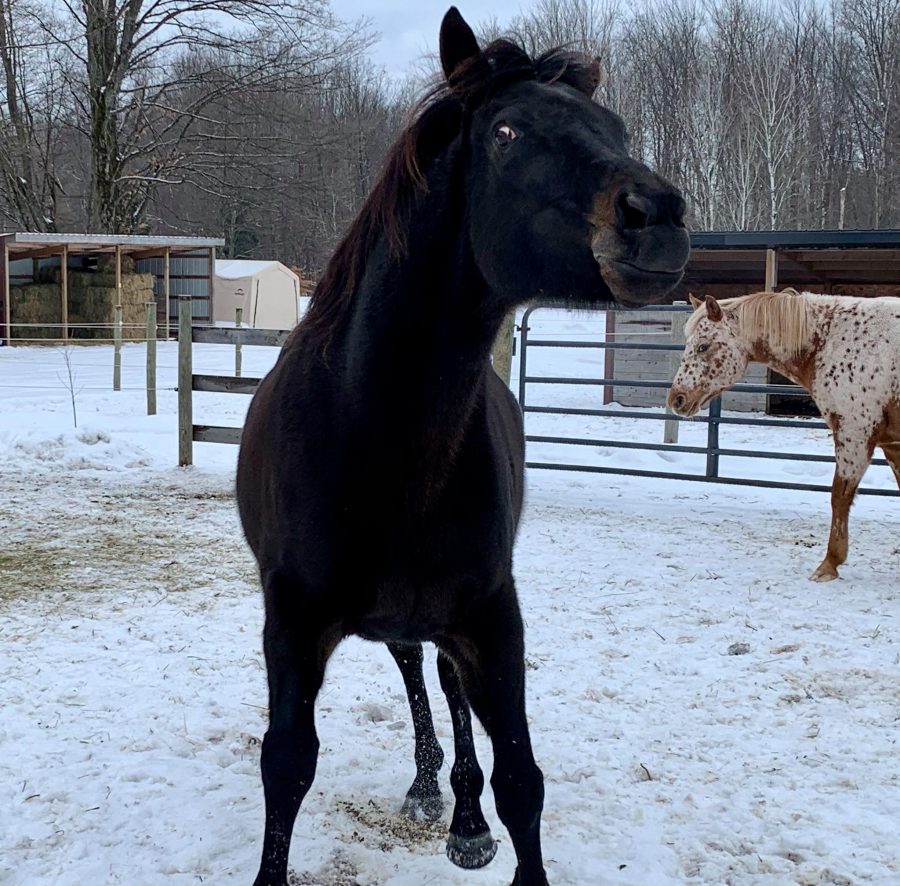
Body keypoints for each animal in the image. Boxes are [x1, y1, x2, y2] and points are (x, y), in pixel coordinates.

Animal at [236, 8, 689, 885]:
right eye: (506, 132)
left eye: (615, 128)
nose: (658, 215)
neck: (378, 435)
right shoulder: (292, 626)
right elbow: (287, 767)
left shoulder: (493, 617)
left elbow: (521, 778)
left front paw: (483, 818)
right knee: (417, 671)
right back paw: (427, 787)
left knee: (444, 683)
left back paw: (464, 816)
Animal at [668, 290, 900, 582]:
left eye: (703, 346)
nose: (676, 399)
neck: (831, 339)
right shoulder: (892, 445)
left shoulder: (854, 434)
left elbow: (839, 497)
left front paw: (829, 564)